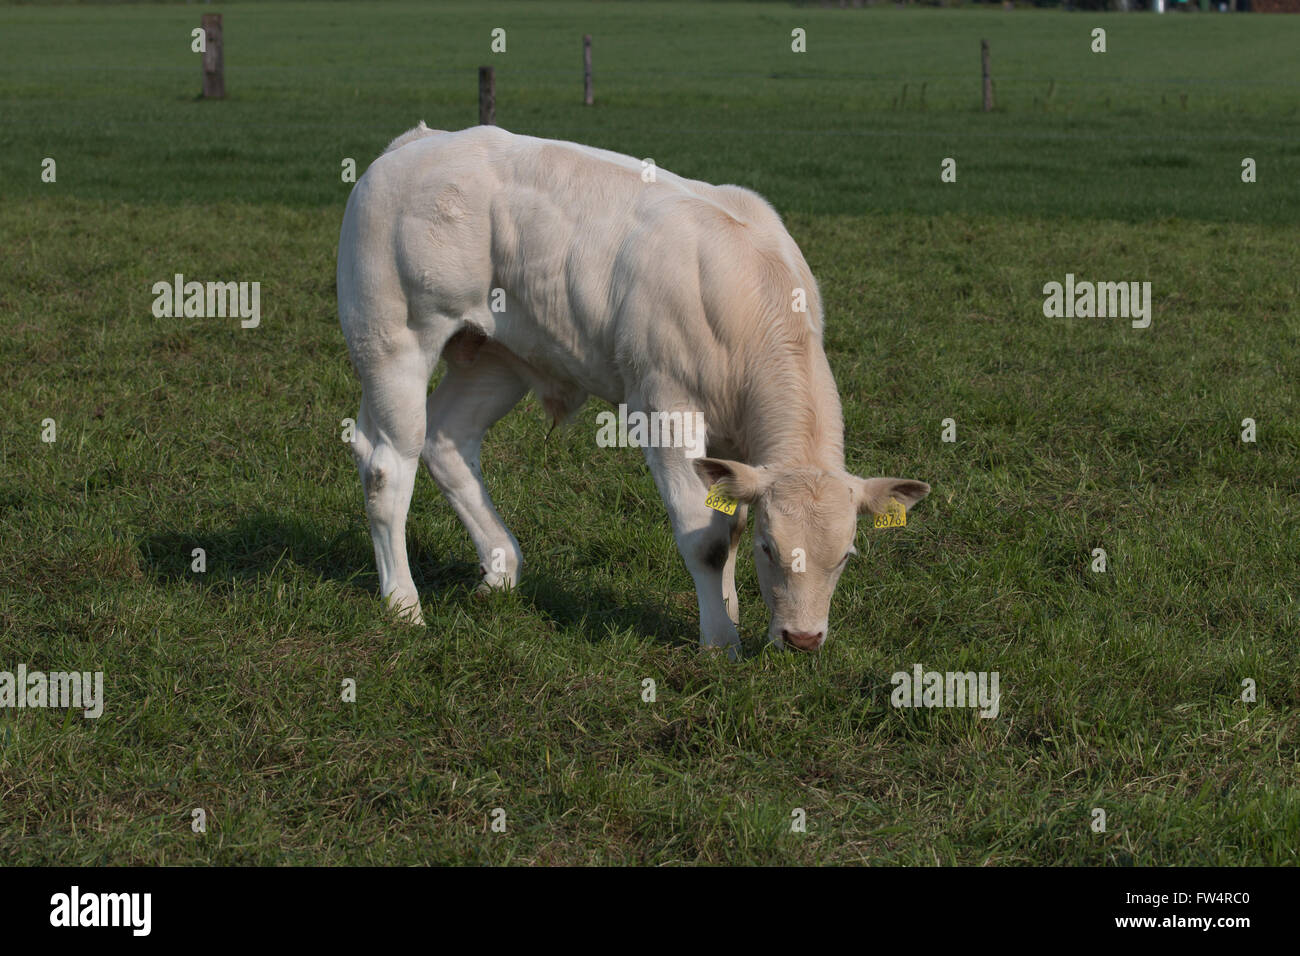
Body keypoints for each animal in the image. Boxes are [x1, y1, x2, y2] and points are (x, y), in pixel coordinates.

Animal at [337, 123, 929, 655]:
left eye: (847, 555)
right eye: (771, 548)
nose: (803, 640)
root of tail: (418, 142)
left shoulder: (737, 448)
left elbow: (729, 522)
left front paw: (730, 612)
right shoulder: (666, 408)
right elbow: (707, 539)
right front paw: (720, 644)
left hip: (496, 357)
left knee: (447, 440)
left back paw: (501, 569)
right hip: (394, 339)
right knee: (389, 465)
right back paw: (403, 605)